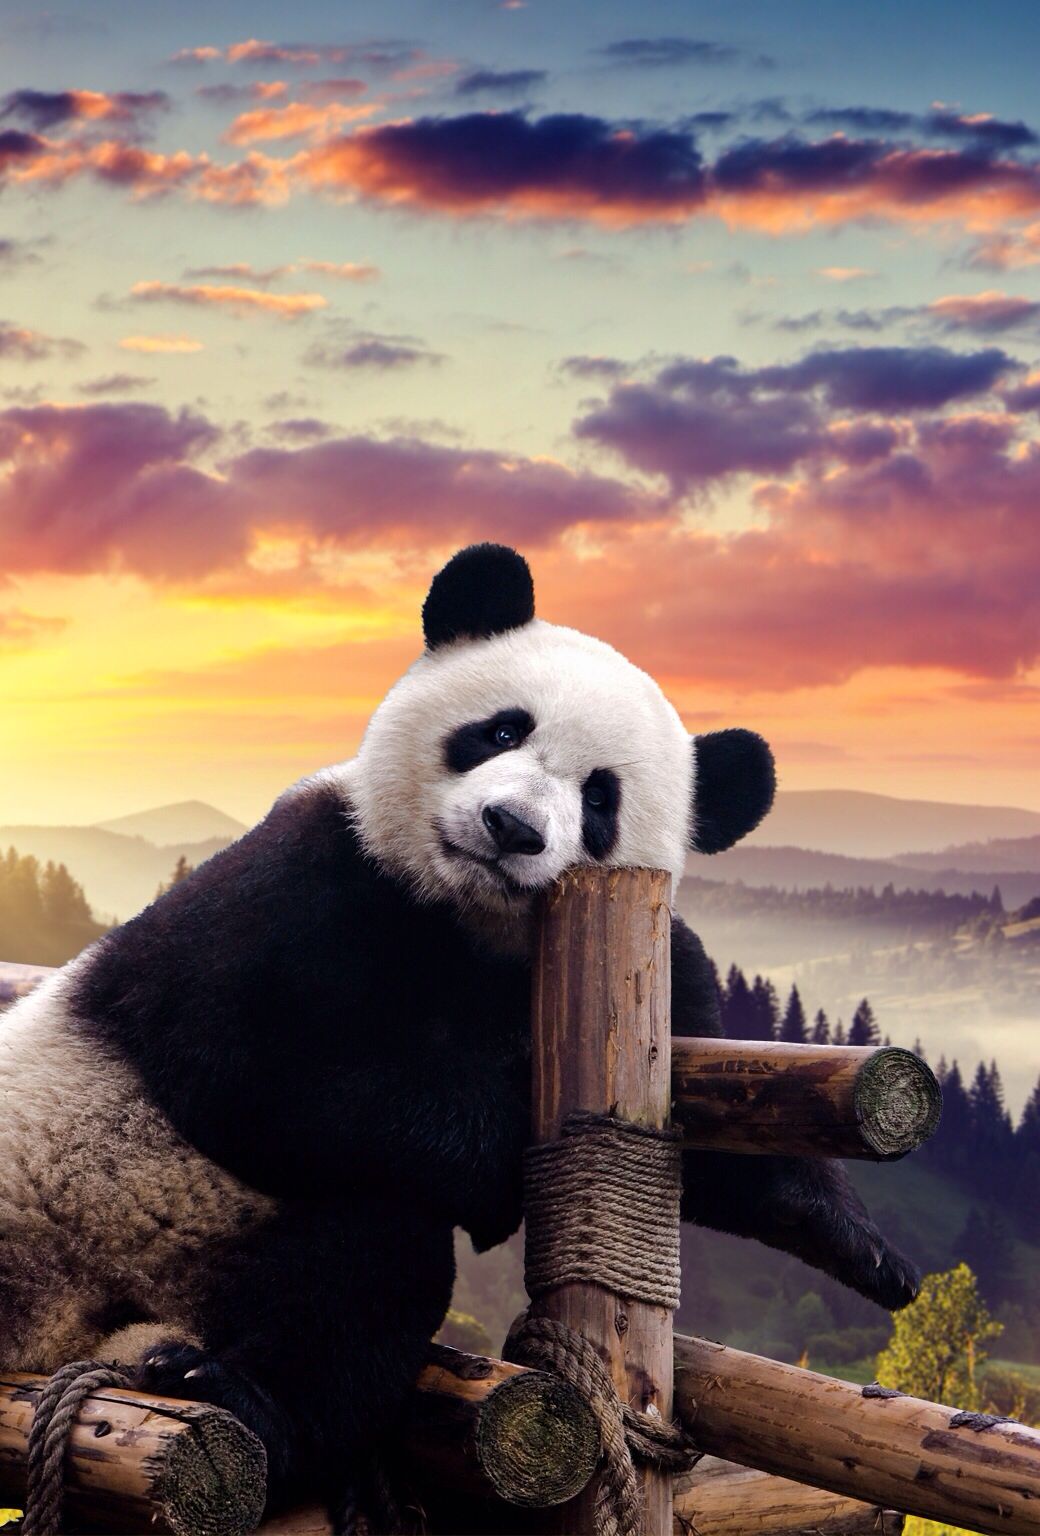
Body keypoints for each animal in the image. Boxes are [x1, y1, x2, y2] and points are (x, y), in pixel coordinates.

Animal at [0, 543, 918, 1512]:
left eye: (601, 798)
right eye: (500, 731)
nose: (511, 826)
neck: (463, 915)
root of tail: (72, 1338)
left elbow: (713, 1130)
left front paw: (860, 1246)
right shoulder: (304, 875)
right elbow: (242, 1055)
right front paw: (497, 1165)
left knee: (354, 1283)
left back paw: (241, 1397)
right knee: (380, 1234)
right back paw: (237, 1393)